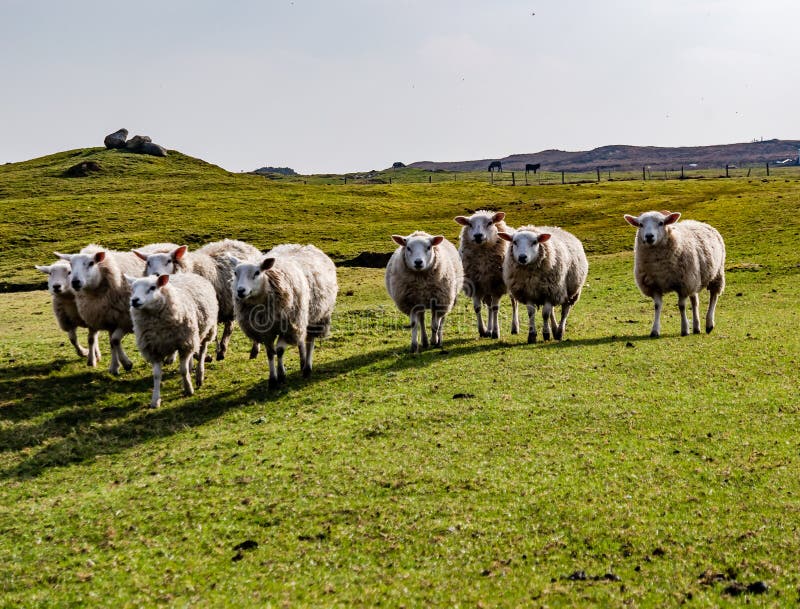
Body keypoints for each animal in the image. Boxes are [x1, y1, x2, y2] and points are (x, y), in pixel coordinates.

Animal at [54, 242, 176, 374]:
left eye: (91, 263)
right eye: (71, 265)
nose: (75, 282)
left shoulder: (125, 321)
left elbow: (115, 340)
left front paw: (125, 363)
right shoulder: (109, 319)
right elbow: (112, 342)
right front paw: (116, 365)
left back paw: (170, 358)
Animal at [126, 273, 218, 408]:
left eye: (152, 287)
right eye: (132, 289)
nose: (134, 300)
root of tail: (189, 273)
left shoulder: (185, 343)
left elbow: (183, 370)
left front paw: (188, 389)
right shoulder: (153, 349)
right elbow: (156, 376)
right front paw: (155, 400)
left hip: (207, 329)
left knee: (202, 351)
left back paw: (199, 375)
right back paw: (191, 367)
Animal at [135, 239, 263, 360]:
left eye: (169, 261)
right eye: (148, 263)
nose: (156, 275)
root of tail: (244, 244)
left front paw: (203, 357)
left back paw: (252, 350)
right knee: (229, 326)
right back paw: (222, 350)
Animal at [231, 244, 338, 387]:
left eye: (257, 272)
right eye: (235, 273)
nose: (240, 291)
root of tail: (305, 246)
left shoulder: (287, 327)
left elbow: (280, 350)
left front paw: (281, 375)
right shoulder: (265, 332)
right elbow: (270, 353)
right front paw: (272, 379)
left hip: (315, 316)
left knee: (309, 341)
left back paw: (307, 368)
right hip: (300, 318)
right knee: (301, 340)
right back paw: (302, 362)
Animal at [454, 210, 519, 339]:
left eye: (490, 223)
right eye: (469, 224)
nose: (478, 236)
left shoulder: (497, 286)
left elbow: (495, 308)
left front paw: (496, 332)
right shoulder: (476, 285)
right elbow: (477, 308)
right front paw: (483, 330)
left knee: (514, 304)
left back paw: (514, 328)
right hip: (486, 287)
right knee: (489, 306)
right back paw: (489, 330)